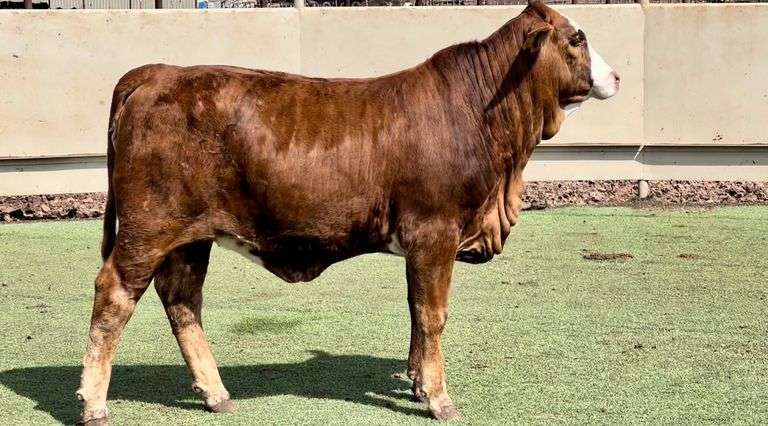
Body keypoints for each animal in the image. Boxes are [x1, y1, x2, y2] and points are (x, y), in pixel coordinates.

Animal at [76, 1, 619, 423]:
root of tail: (159, 72)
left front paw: (417, 382)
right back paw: (95, 404)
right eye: (577, 37)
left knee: (183, 301)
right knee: (114, 296)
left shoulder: (420, 245)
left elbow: (415, 312)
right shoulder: (435, 231)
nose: (615, 76)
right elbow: (432, 314)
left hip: (189, 238)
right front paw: (439, 399)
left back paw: (217, 394)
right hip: (148, 227)